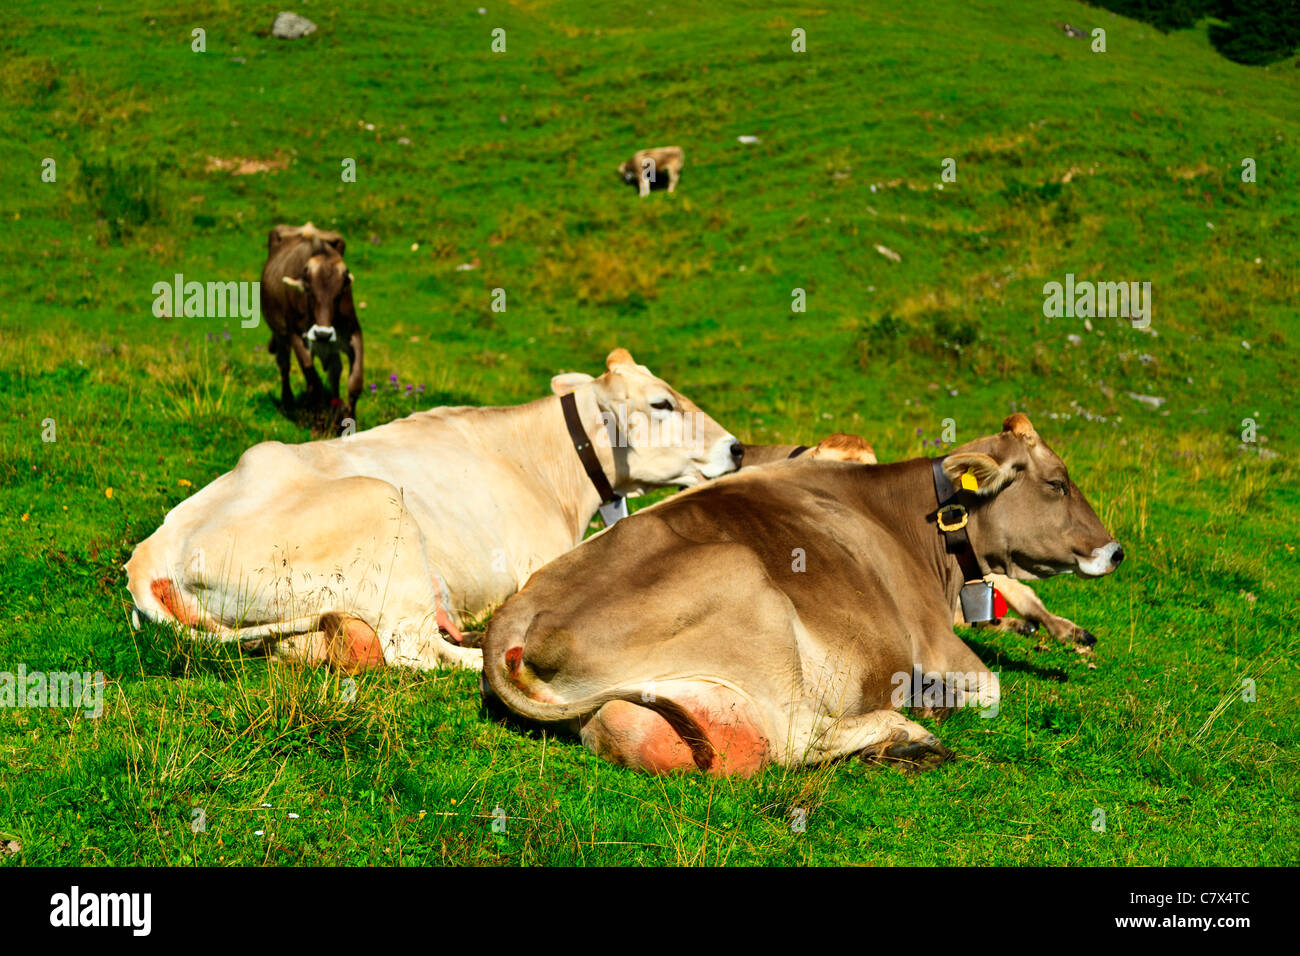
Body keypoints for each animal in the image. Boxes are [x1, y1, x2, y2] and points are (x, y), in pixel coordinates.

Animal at [260, 223, 363, 431]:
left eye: (340, 293)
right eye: (309, 290)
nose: (323, 334)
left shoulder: (354, 333)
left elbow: (355, 382)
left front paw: (349, 421)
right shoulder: (296, 336)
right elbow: (314, 381)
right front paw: (318, 425)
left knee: (335, 371)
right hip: (280, 334)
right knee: (284, 365)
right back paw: (289, 402)